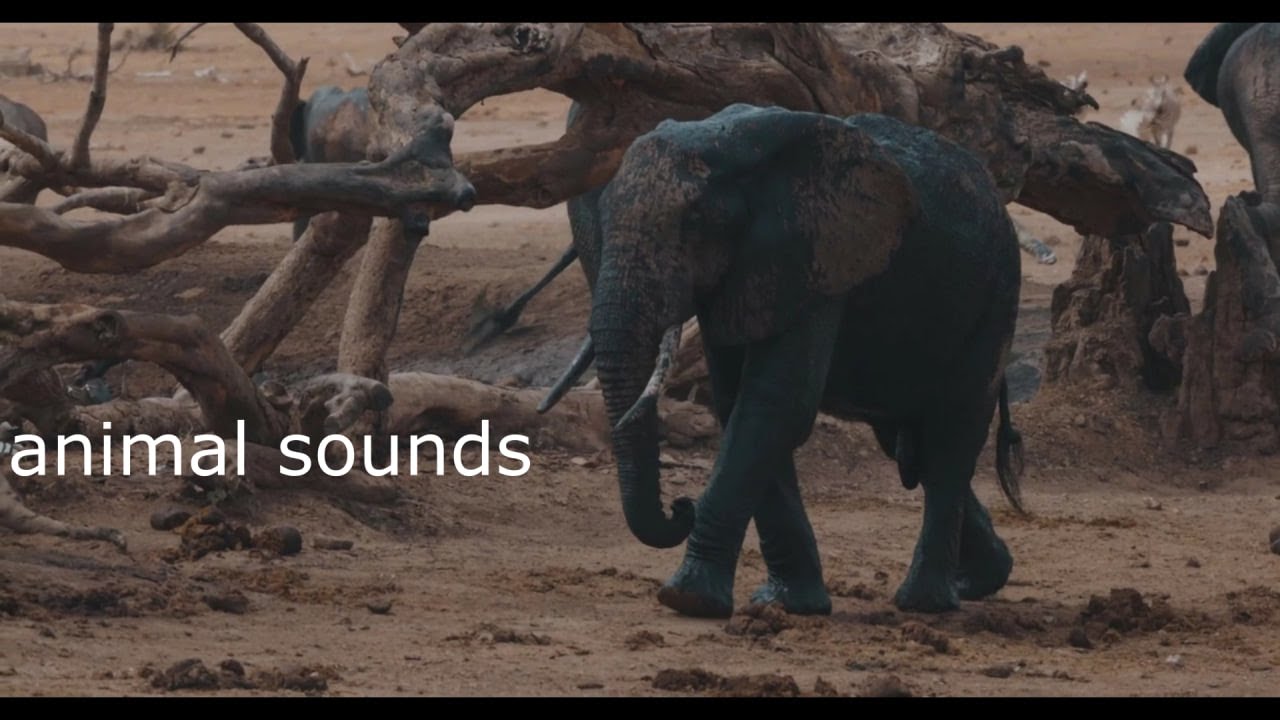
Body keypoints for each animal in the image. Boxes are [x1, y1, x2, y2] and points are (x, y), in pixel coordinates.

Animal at [544, 104, 1025, 617]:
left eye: (696, 222)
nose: (680, 506)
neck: (728, 147)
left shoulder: (814, 257)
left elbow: (774, 403)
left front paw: (687, 598)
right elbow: (739, 404)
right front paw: (789, 604)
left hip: (997, 293)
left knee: (951, 435)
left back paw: (925, 603)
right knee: (906, 443)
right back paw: (980, 579)